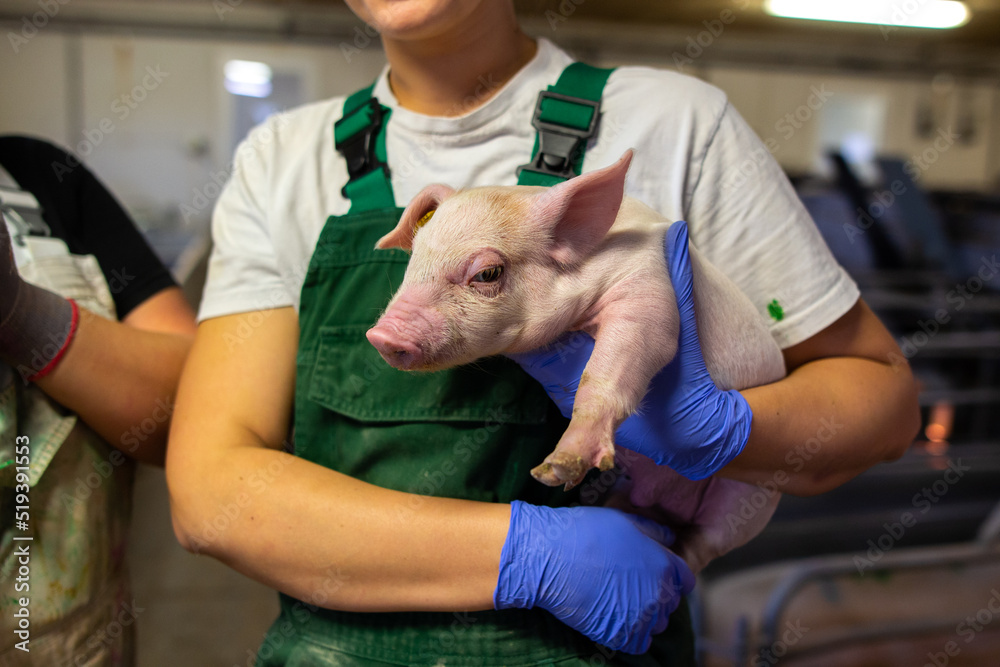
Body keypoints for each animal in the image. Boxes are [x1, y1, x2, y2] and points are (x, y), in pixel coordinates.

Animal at [366, 150, 785, 572]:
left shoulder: (649, 287)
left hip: (746, 501)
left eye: (487, 273)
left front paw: (553, 470)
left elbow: (610, 368)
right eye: (414, 259)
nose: (381, 336)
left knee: (701, 548)